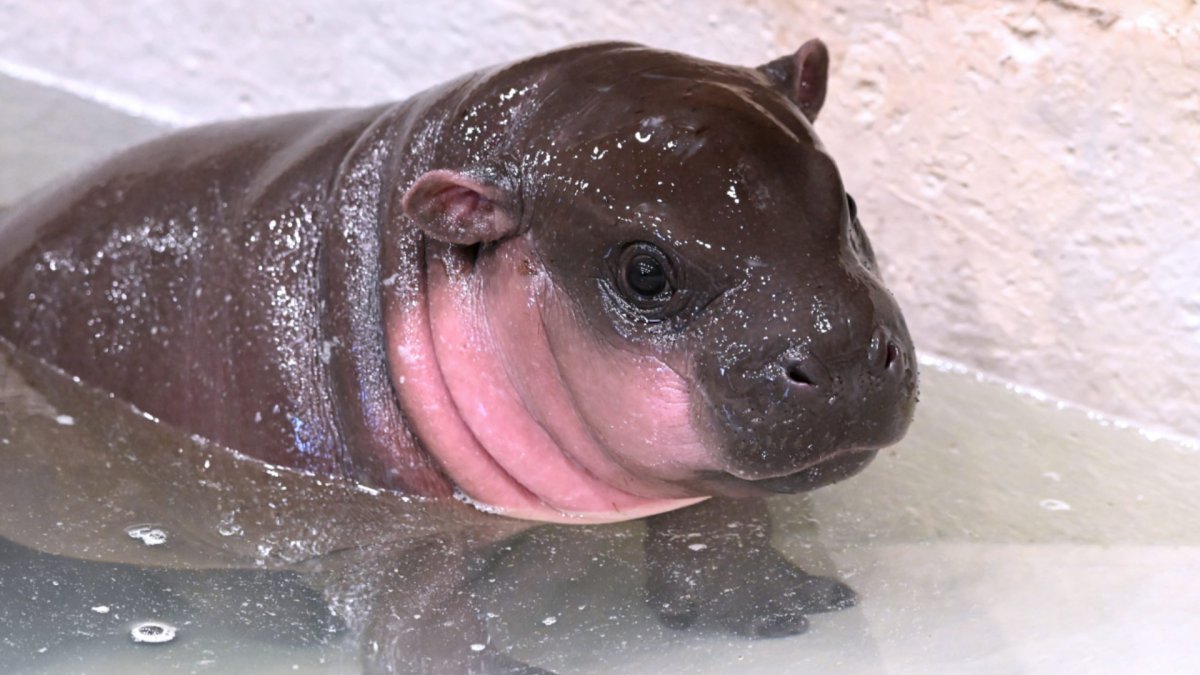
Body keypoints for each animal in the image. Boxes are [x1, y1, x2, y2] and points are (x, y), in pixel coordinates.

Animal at [0, 38, 917, 669]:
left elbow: (723, 511)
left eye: (847, 199)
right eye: (645, 270)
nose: (840, 354)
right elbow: (421, 630)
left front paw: (781, 605)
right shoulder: (386, 535)